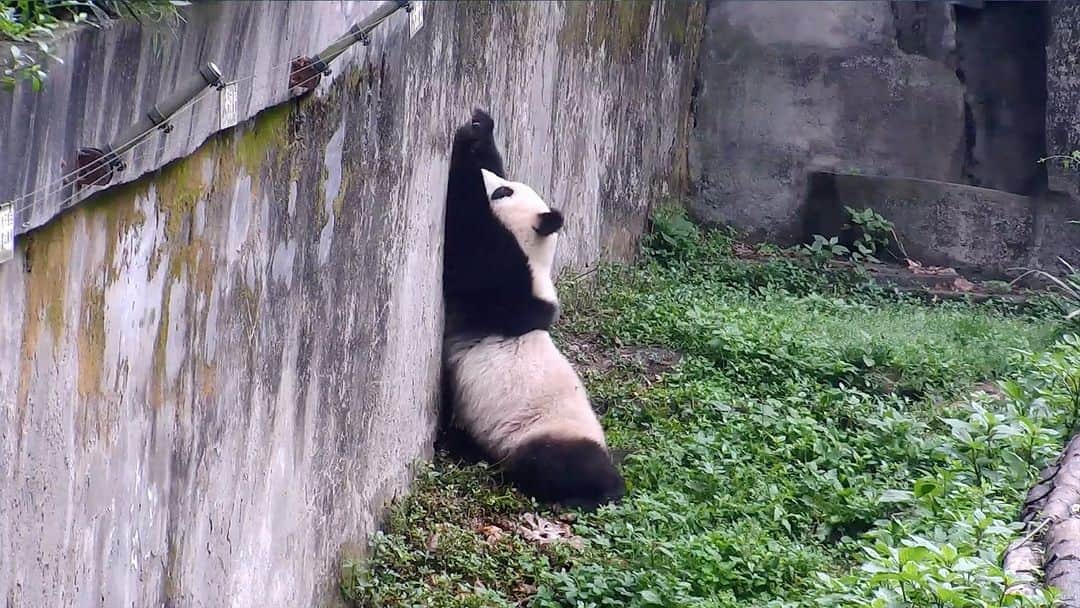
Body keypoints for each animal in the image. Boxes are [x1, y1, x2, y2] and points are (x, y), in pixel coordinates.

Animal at [439, 109, 625, 510]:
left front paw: (464, 149)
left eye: (503, 191)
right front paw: (482, 128)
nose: (494, 182)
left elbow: (468, 233)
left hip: (548, 432)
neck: (537, 255)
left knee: (559, 464)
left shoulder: (506, 283)